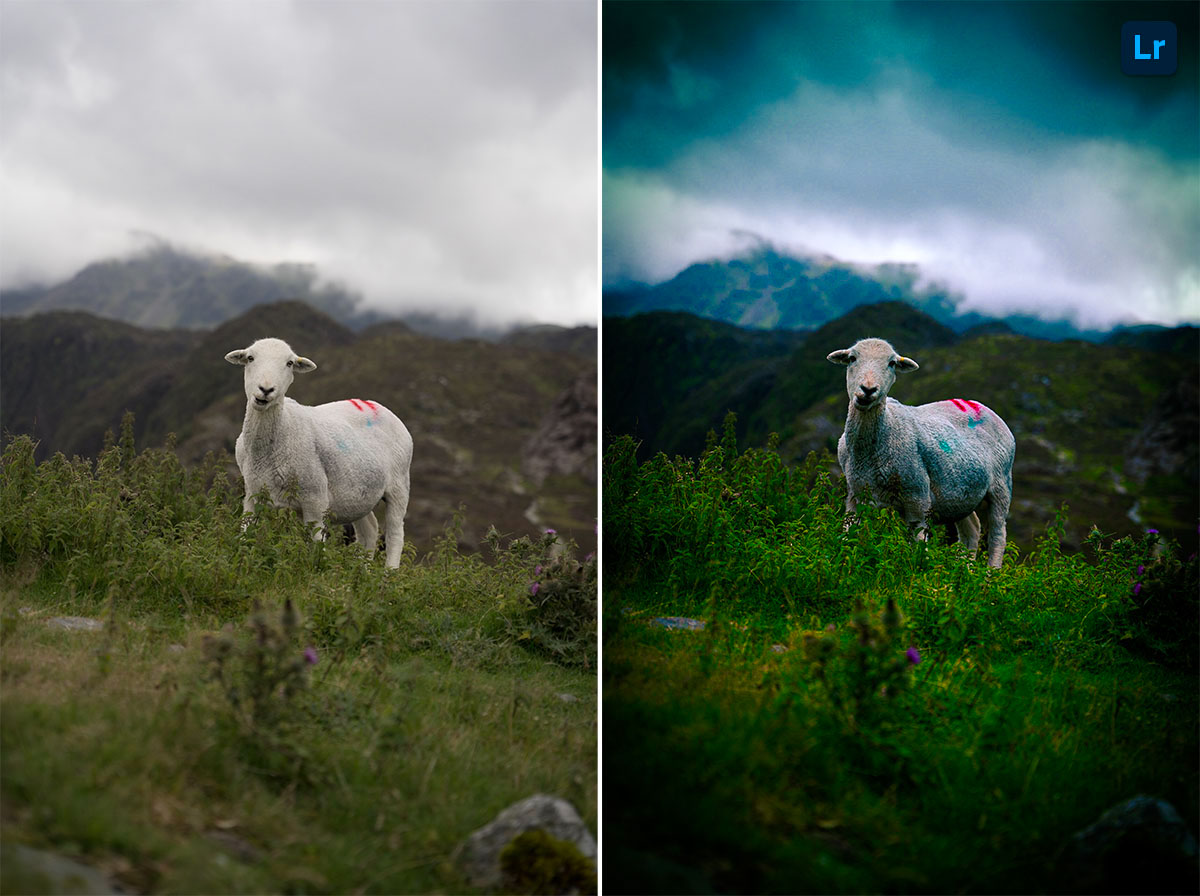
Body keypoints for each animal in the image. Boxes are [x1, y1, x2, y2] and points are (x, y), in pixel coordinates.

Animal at [225, 337, 413, 567]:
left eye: (289, 363)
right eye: (250, 358)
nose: (266, 389)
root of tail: (380, 407)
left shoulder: (315, 499)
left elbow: (316, 547)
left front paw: (317, 569)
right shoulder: (253, 492)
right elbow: (245, 533)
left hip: (399, 485)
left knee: (395, 534)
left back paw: (389, 573)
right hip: (360, 493)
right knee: (369, 531)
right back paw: (362, 571)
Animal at [826, 337, 1015, 567]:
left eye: (891, 363)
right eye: (852, 358)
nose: (868, 389)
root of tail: (981, 406)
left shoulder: (918, 499)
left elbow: (917, 549)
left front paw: (919, 571)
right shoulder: (855, 493)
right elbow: (848, 534)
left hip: (1002, 485)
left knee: (997, 534)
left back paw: (990, 574)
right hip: (961, 493)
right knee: (972, 529)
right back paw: (964, 571)